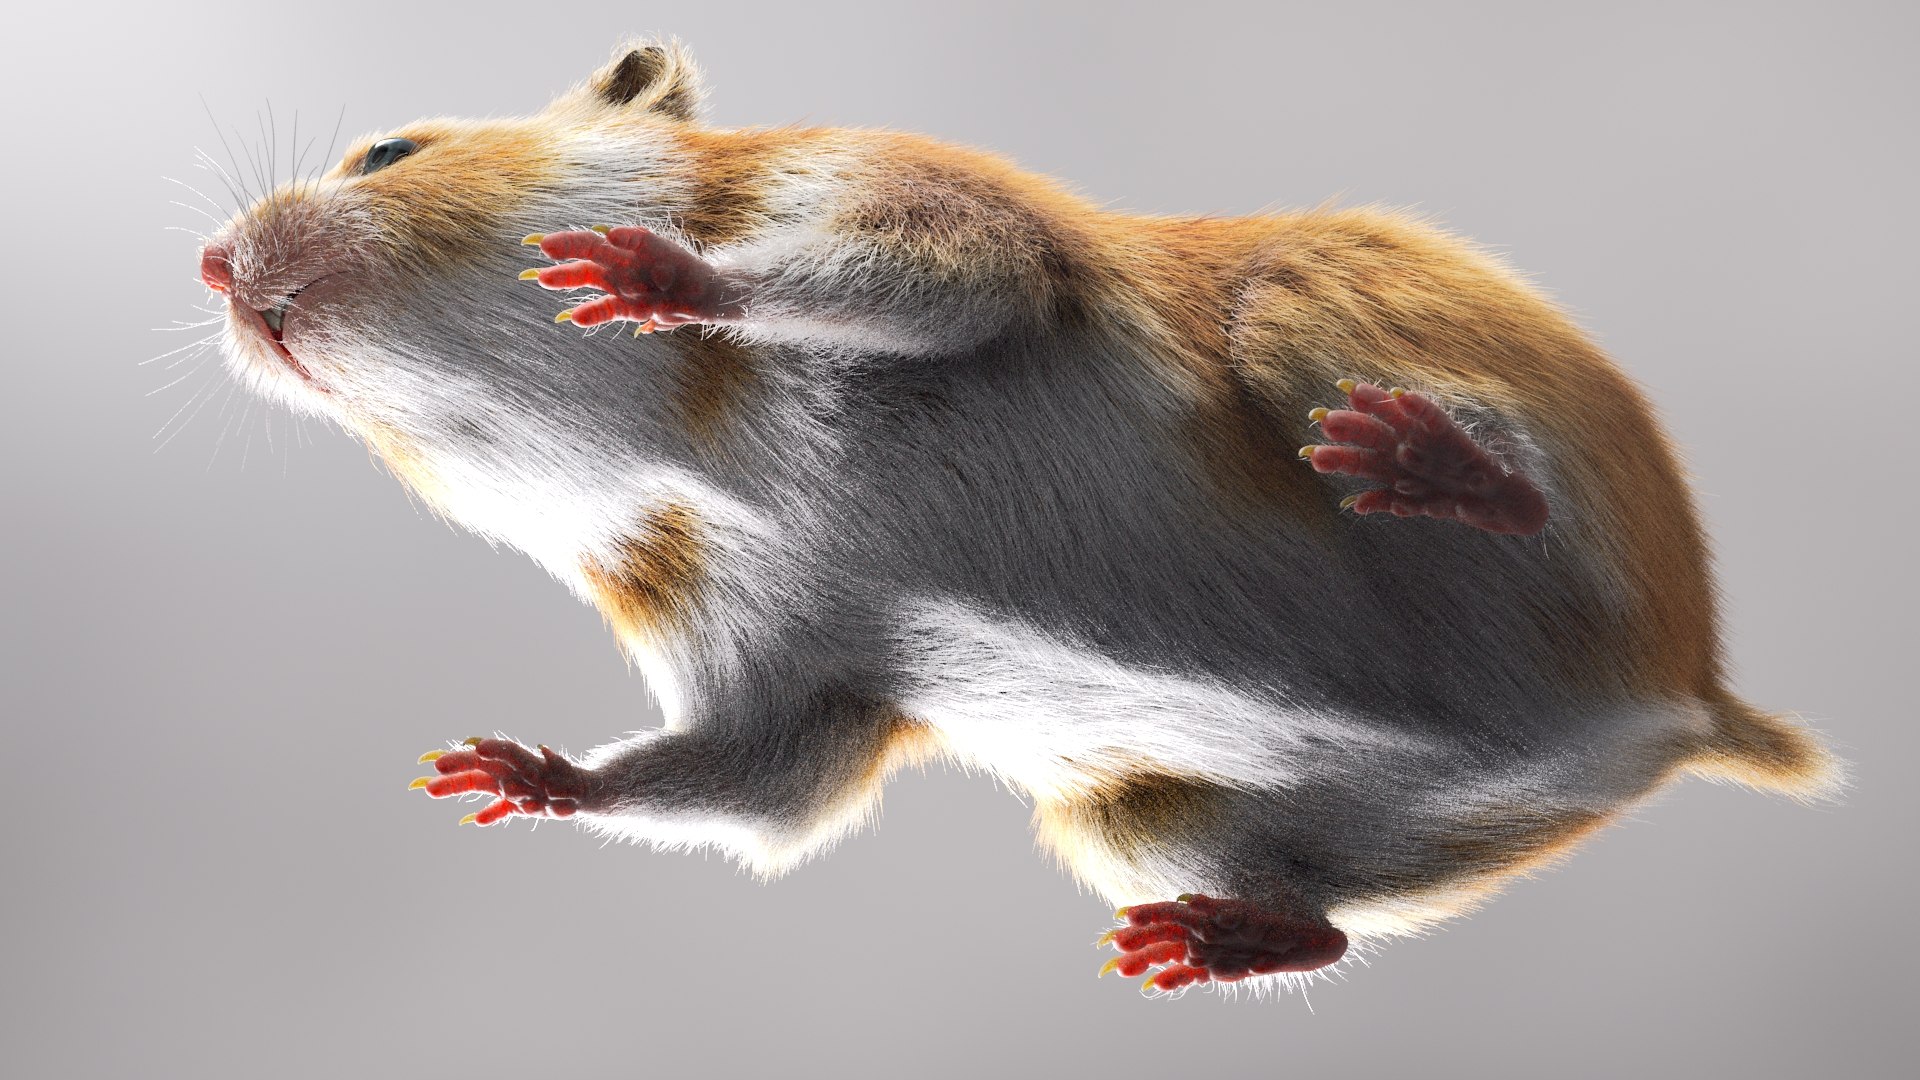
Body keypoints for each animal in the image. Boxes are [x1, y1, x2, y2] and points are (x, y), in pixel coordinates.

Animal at [195, 38, 1839, 994]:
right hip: (1132, 820)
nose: (213, 264)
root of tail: (1674, 702)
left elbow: (942, 270)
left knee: (1498, 479)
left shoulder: (903, 205)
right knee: (1319, 921)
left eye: (391, 150)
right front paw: (508, 774)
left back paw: (1429, 463)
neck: (662, 444)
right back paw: (1199, 946)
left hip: (1325, 317)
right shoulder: (761, 635)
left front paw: (652, 273)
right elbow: (767, 780)